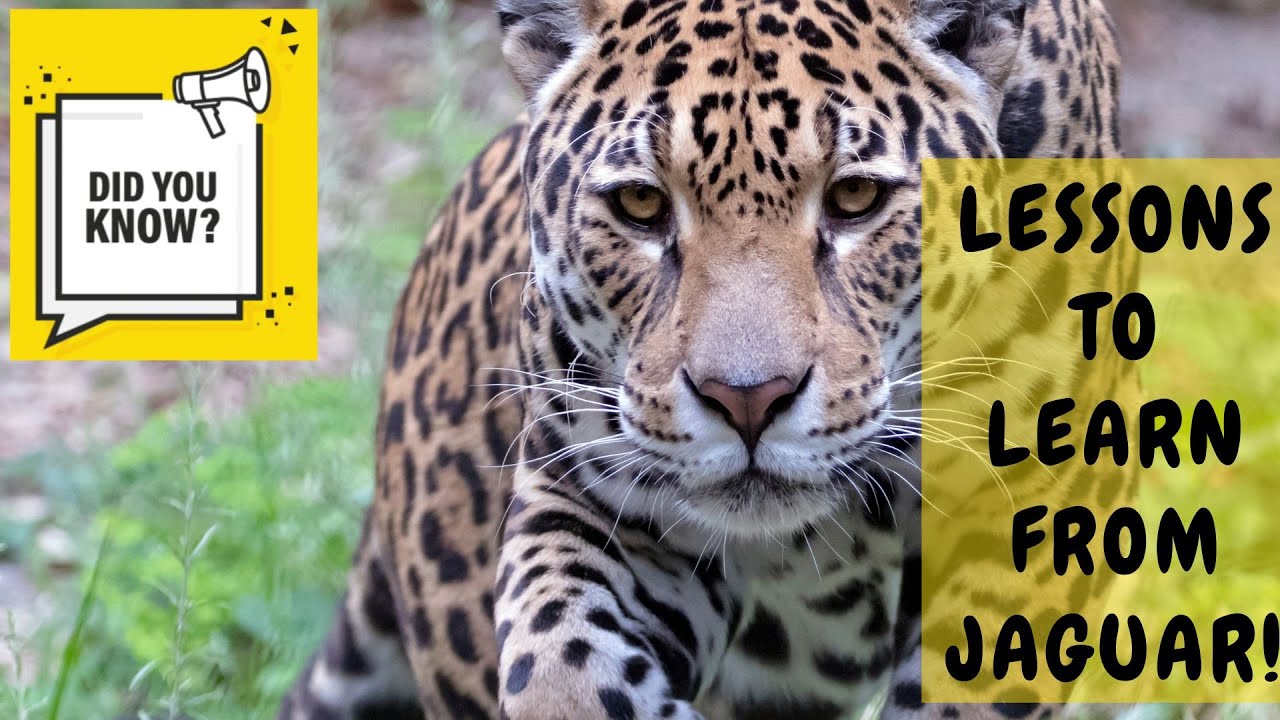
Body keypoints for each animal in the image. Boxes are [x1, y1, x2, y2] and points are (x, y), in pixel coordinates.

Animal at [280, 0, 1122, 718]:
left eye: (854, 199)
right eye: (641, 206)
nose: (748, 399)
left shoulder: (1022, 518)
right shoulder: (593, 501)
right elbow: (557, 662)